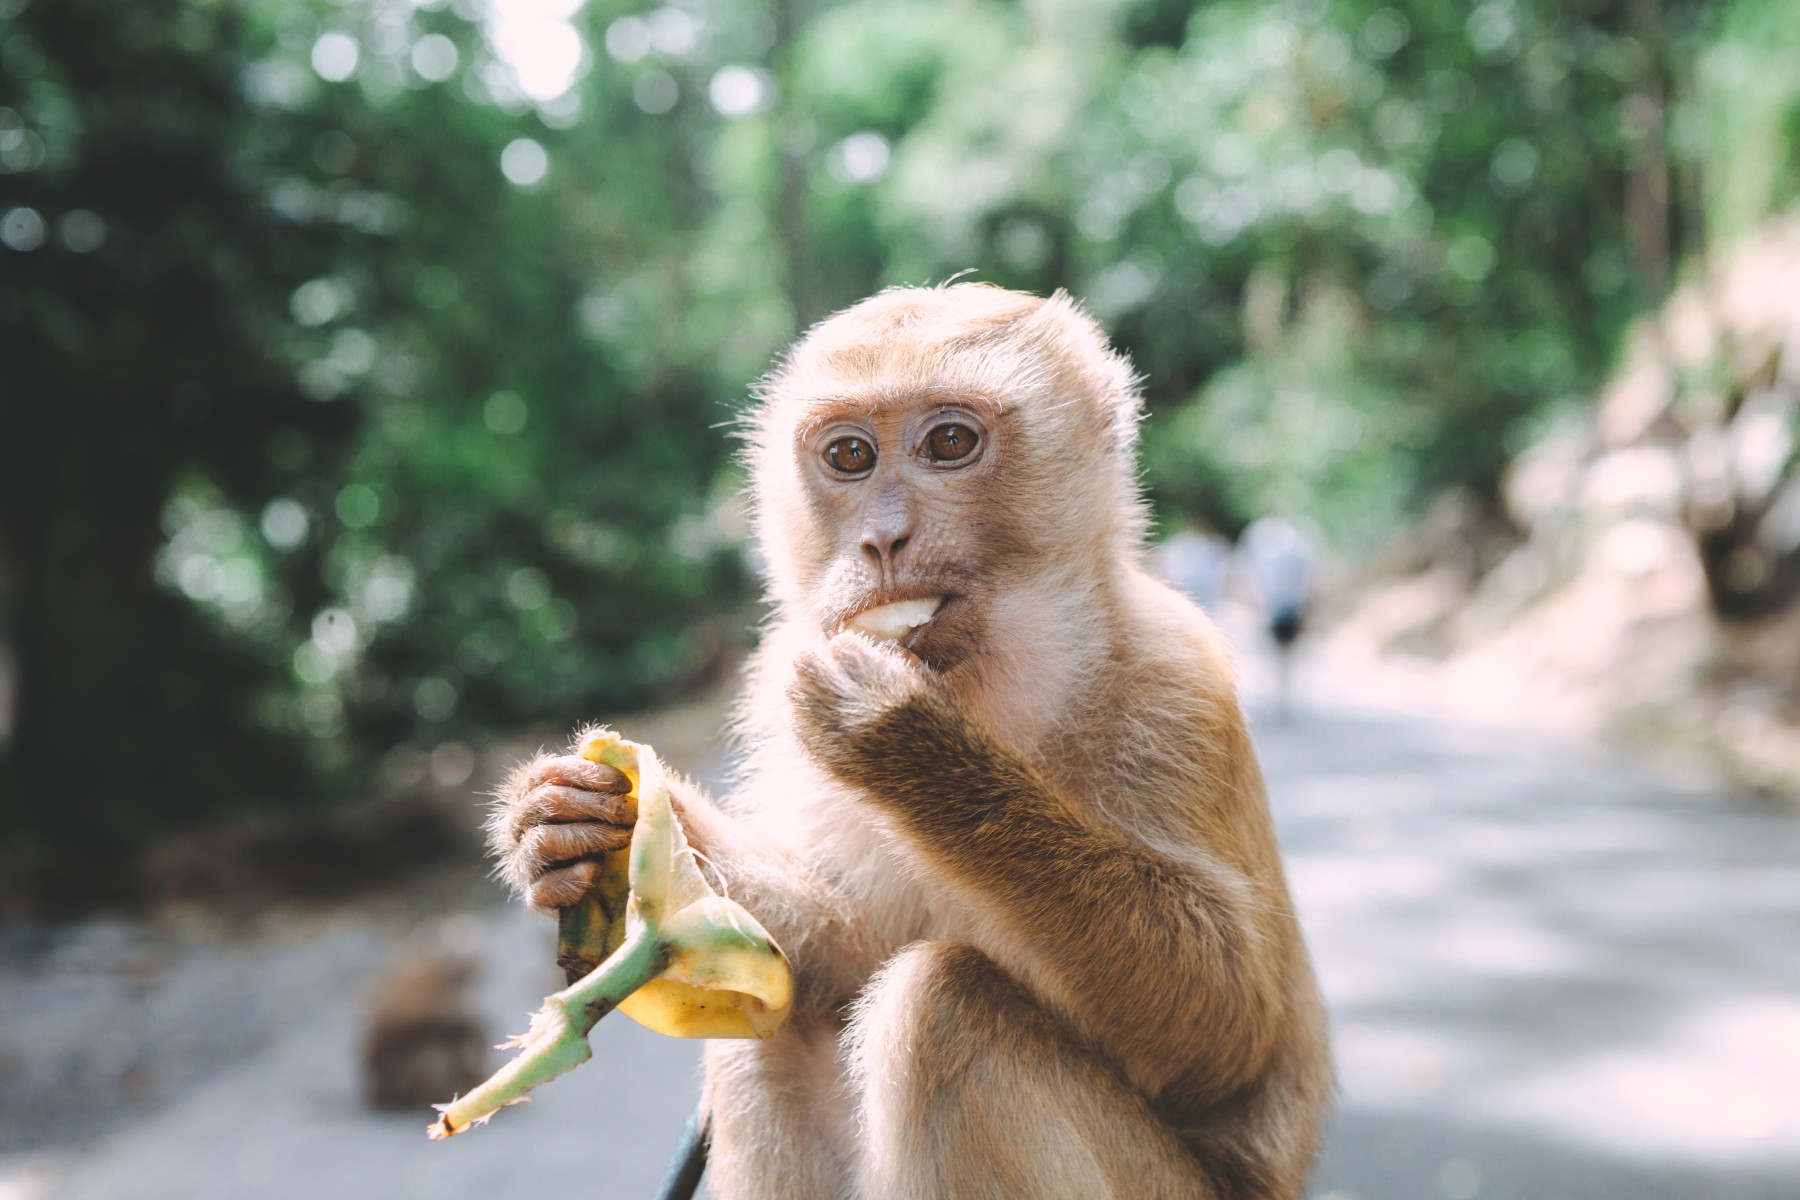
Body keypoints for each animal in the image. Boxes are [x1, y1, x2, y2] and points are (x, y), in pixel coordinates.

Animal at [490, 284, 1332, 1198]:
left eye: (951, 443)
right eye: (850, 455)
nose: (883, 538)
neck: (990, 685)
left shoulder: (1177, 684)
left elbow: (1228, 1035)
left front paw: (909, 743)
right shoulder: (781, 673)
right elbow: (842, 952)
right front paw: (564, 824)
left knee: (946, 1009)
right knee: (773, 1034)